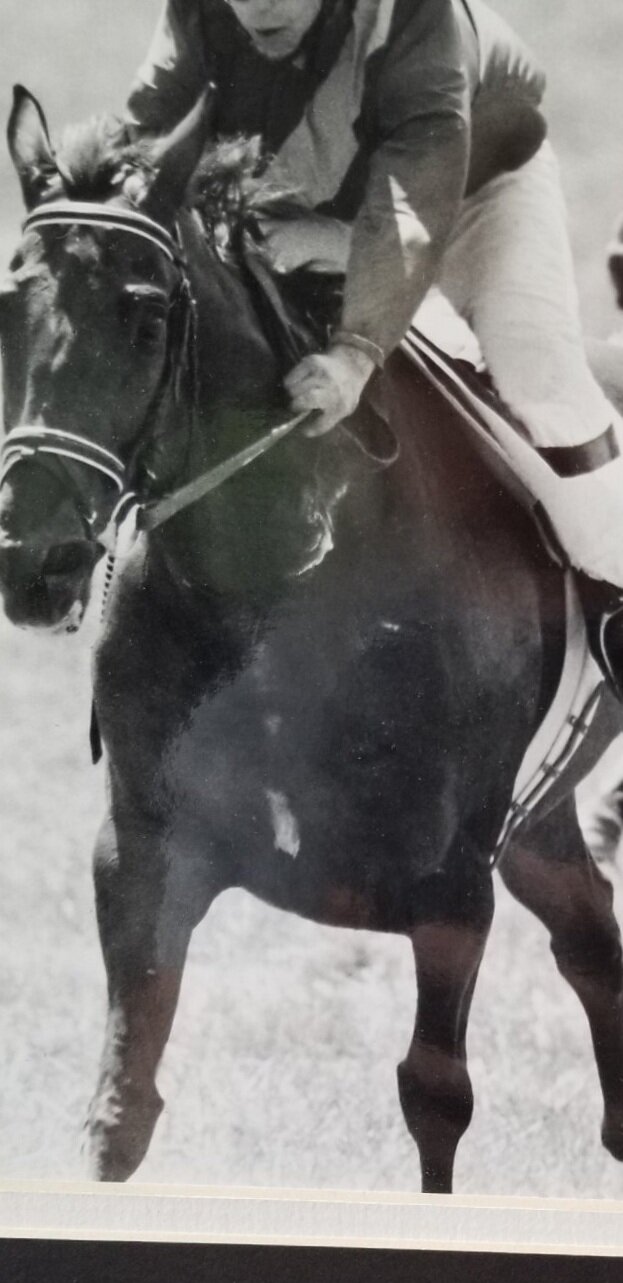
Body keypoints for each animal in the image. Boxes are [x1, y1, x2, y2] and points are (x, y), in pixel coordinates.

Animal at [2, 85, 623, 1194]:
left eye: (146, 312)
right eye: (3, 309)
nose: (32, 553)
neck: (276, 588)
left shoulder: (448, 882)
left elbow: (434, 1095)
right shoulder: (142, 850)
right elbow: (122, 1104)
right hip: (541, 815)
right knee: (591, 935)